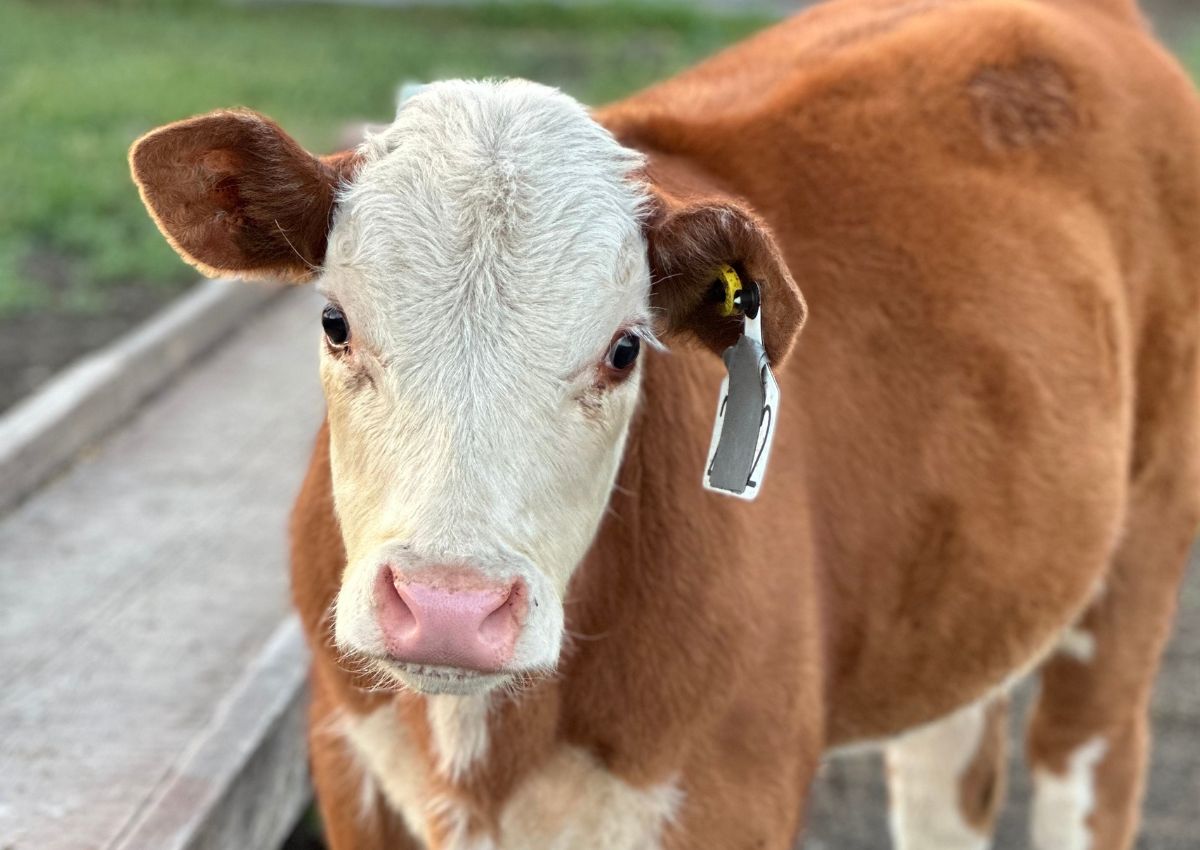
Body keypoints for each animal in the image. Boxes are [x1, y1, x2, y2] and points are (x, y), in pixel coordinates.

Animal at [128, 0, 1200, 847]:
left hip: (1140, 555)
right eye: (334, 321)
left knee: (1085, 760)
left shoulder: (732, 790)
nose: (448, 608)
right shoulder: (349, 761)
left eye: (623, 349)